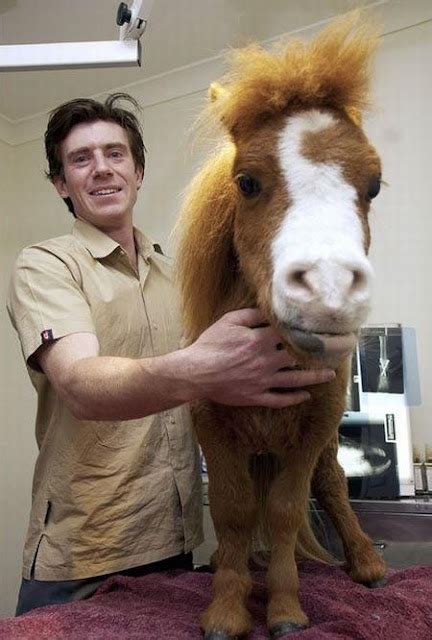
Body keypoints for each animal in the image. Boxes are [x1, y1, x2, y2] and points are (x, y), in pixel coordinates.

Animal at [176, 13, 387, 640]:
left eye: (373, 184)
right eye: (246, 181)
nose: (327, 289)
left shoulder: (312, 432)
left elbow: (288, 510)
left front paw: (286, 609)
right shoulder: (214, 428)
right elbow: (235, 510)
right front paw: (228, 607)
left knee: (333, 486)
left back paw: (365, 563)